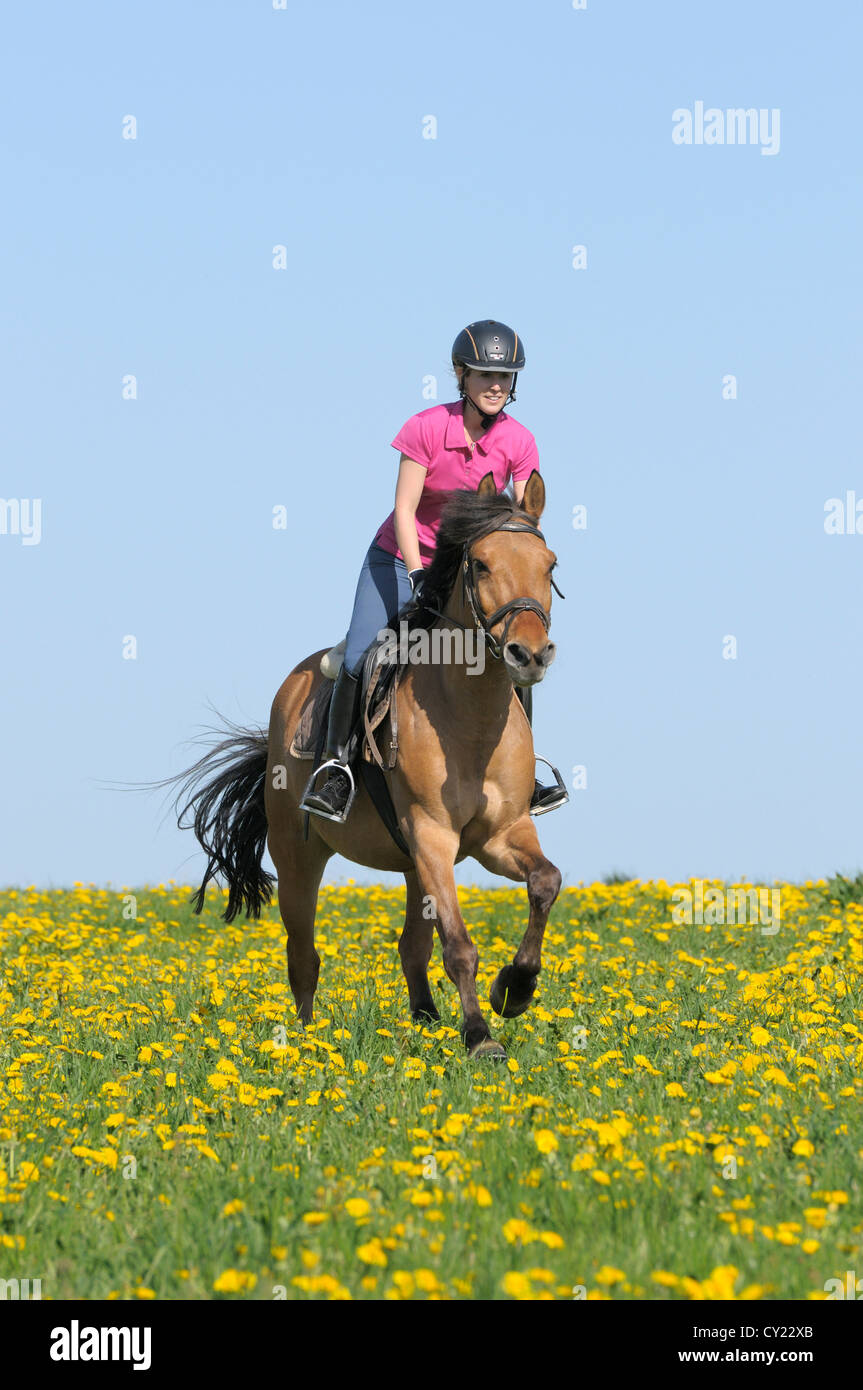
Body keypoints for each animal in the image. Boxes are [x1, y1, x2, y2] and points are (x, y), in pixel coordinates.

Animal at [170, 469, 563, 1059]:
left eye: (550, 565)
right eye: (480, 563)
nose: (529, 654)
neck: (469, 717)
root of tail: (292, 688)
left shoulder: (501, 835)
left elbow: (545, 882)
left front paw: (513, 990)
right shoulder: (431, 835)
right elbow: (459, 946)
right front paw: (480, 1037)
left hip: (413, 866)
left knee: (411, 948)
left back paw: (425, 1021)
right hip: (300, 857)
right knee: (304, 955)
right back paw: (307, 1041)